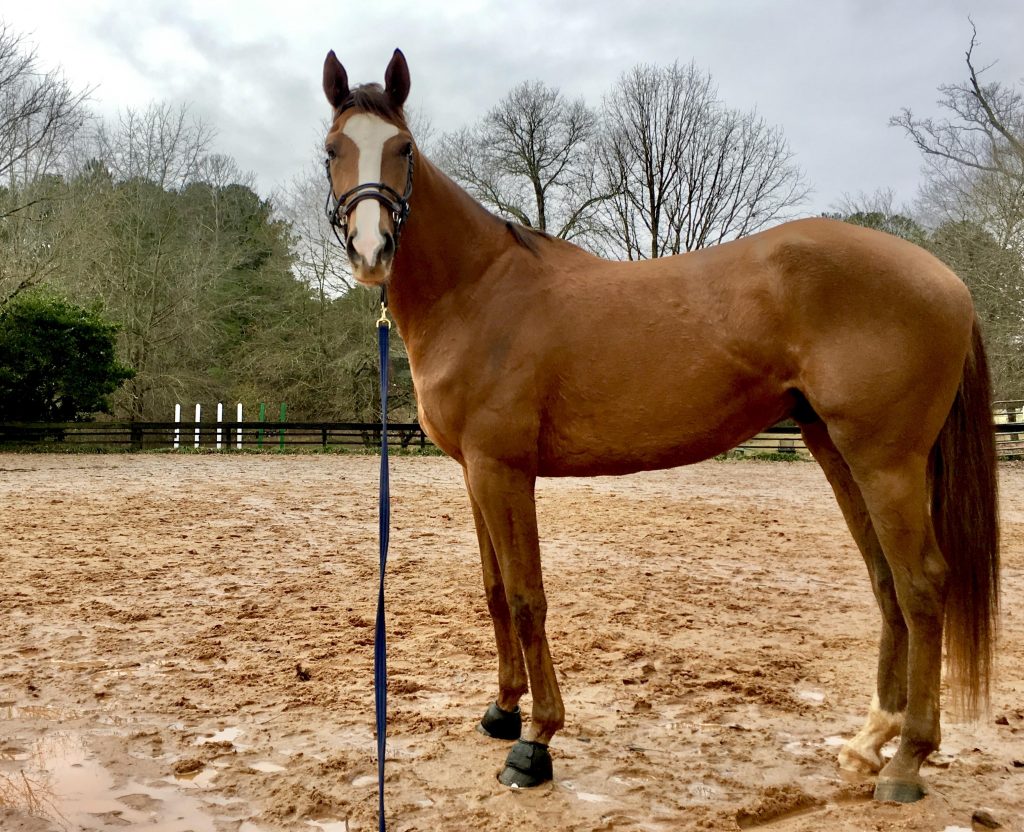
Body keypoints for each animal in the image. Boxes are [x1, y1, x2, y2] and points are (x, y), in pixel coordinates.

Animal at [321, 48, 999, 803]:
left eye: (404, 149)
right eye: (333, 150)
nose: (372, 249)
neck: (478, 290)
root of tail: (946, 278)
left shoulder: (505, 470)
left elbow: (527, 598)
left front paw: (536, 742)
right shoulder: (475, 473)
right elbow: (496, 594)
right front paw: (501, 711)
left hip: (888, 461)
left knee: (922, 586)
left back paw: (908, 761)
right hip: (838, 451)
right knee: (886, 583)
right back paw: (869, 742)